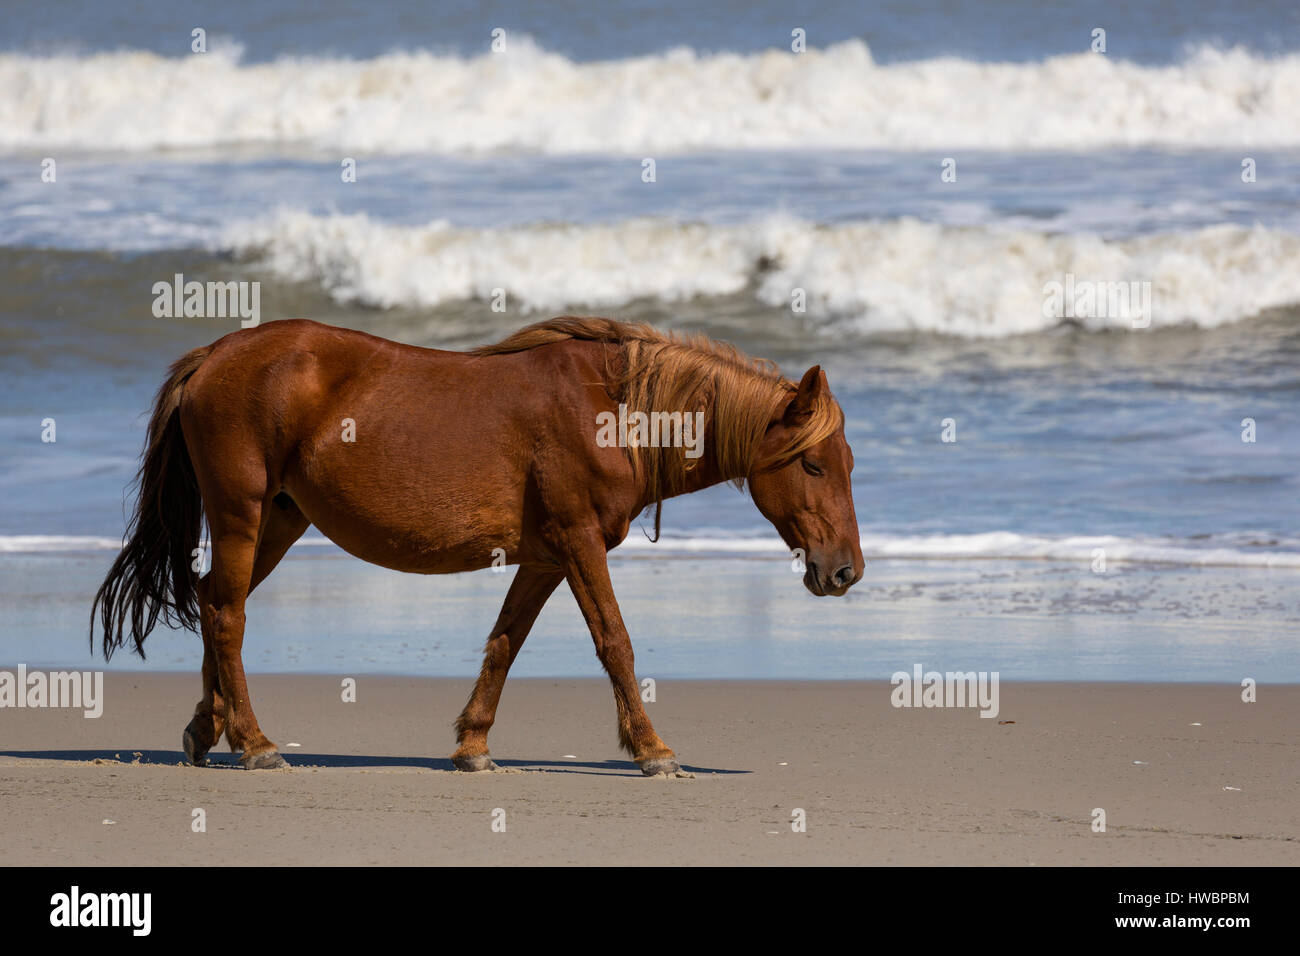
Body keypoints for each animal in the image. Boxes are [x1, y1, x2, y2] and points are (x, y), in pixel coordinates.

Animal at [91, 317, 863, 775]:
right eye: (812, 466)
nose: (845, 572)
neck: (613, 411)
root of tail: (214, 354)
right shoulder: (580, 542)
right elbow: (615, 642)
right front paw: (652, 749)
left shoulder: (547, 556)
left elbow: (504, 643)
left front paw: (472, 744)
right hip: (242, 513)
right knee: (226, 615)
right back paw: (253, 744)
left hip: (278, 521)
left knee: (212, 602)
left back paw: (206, 729)